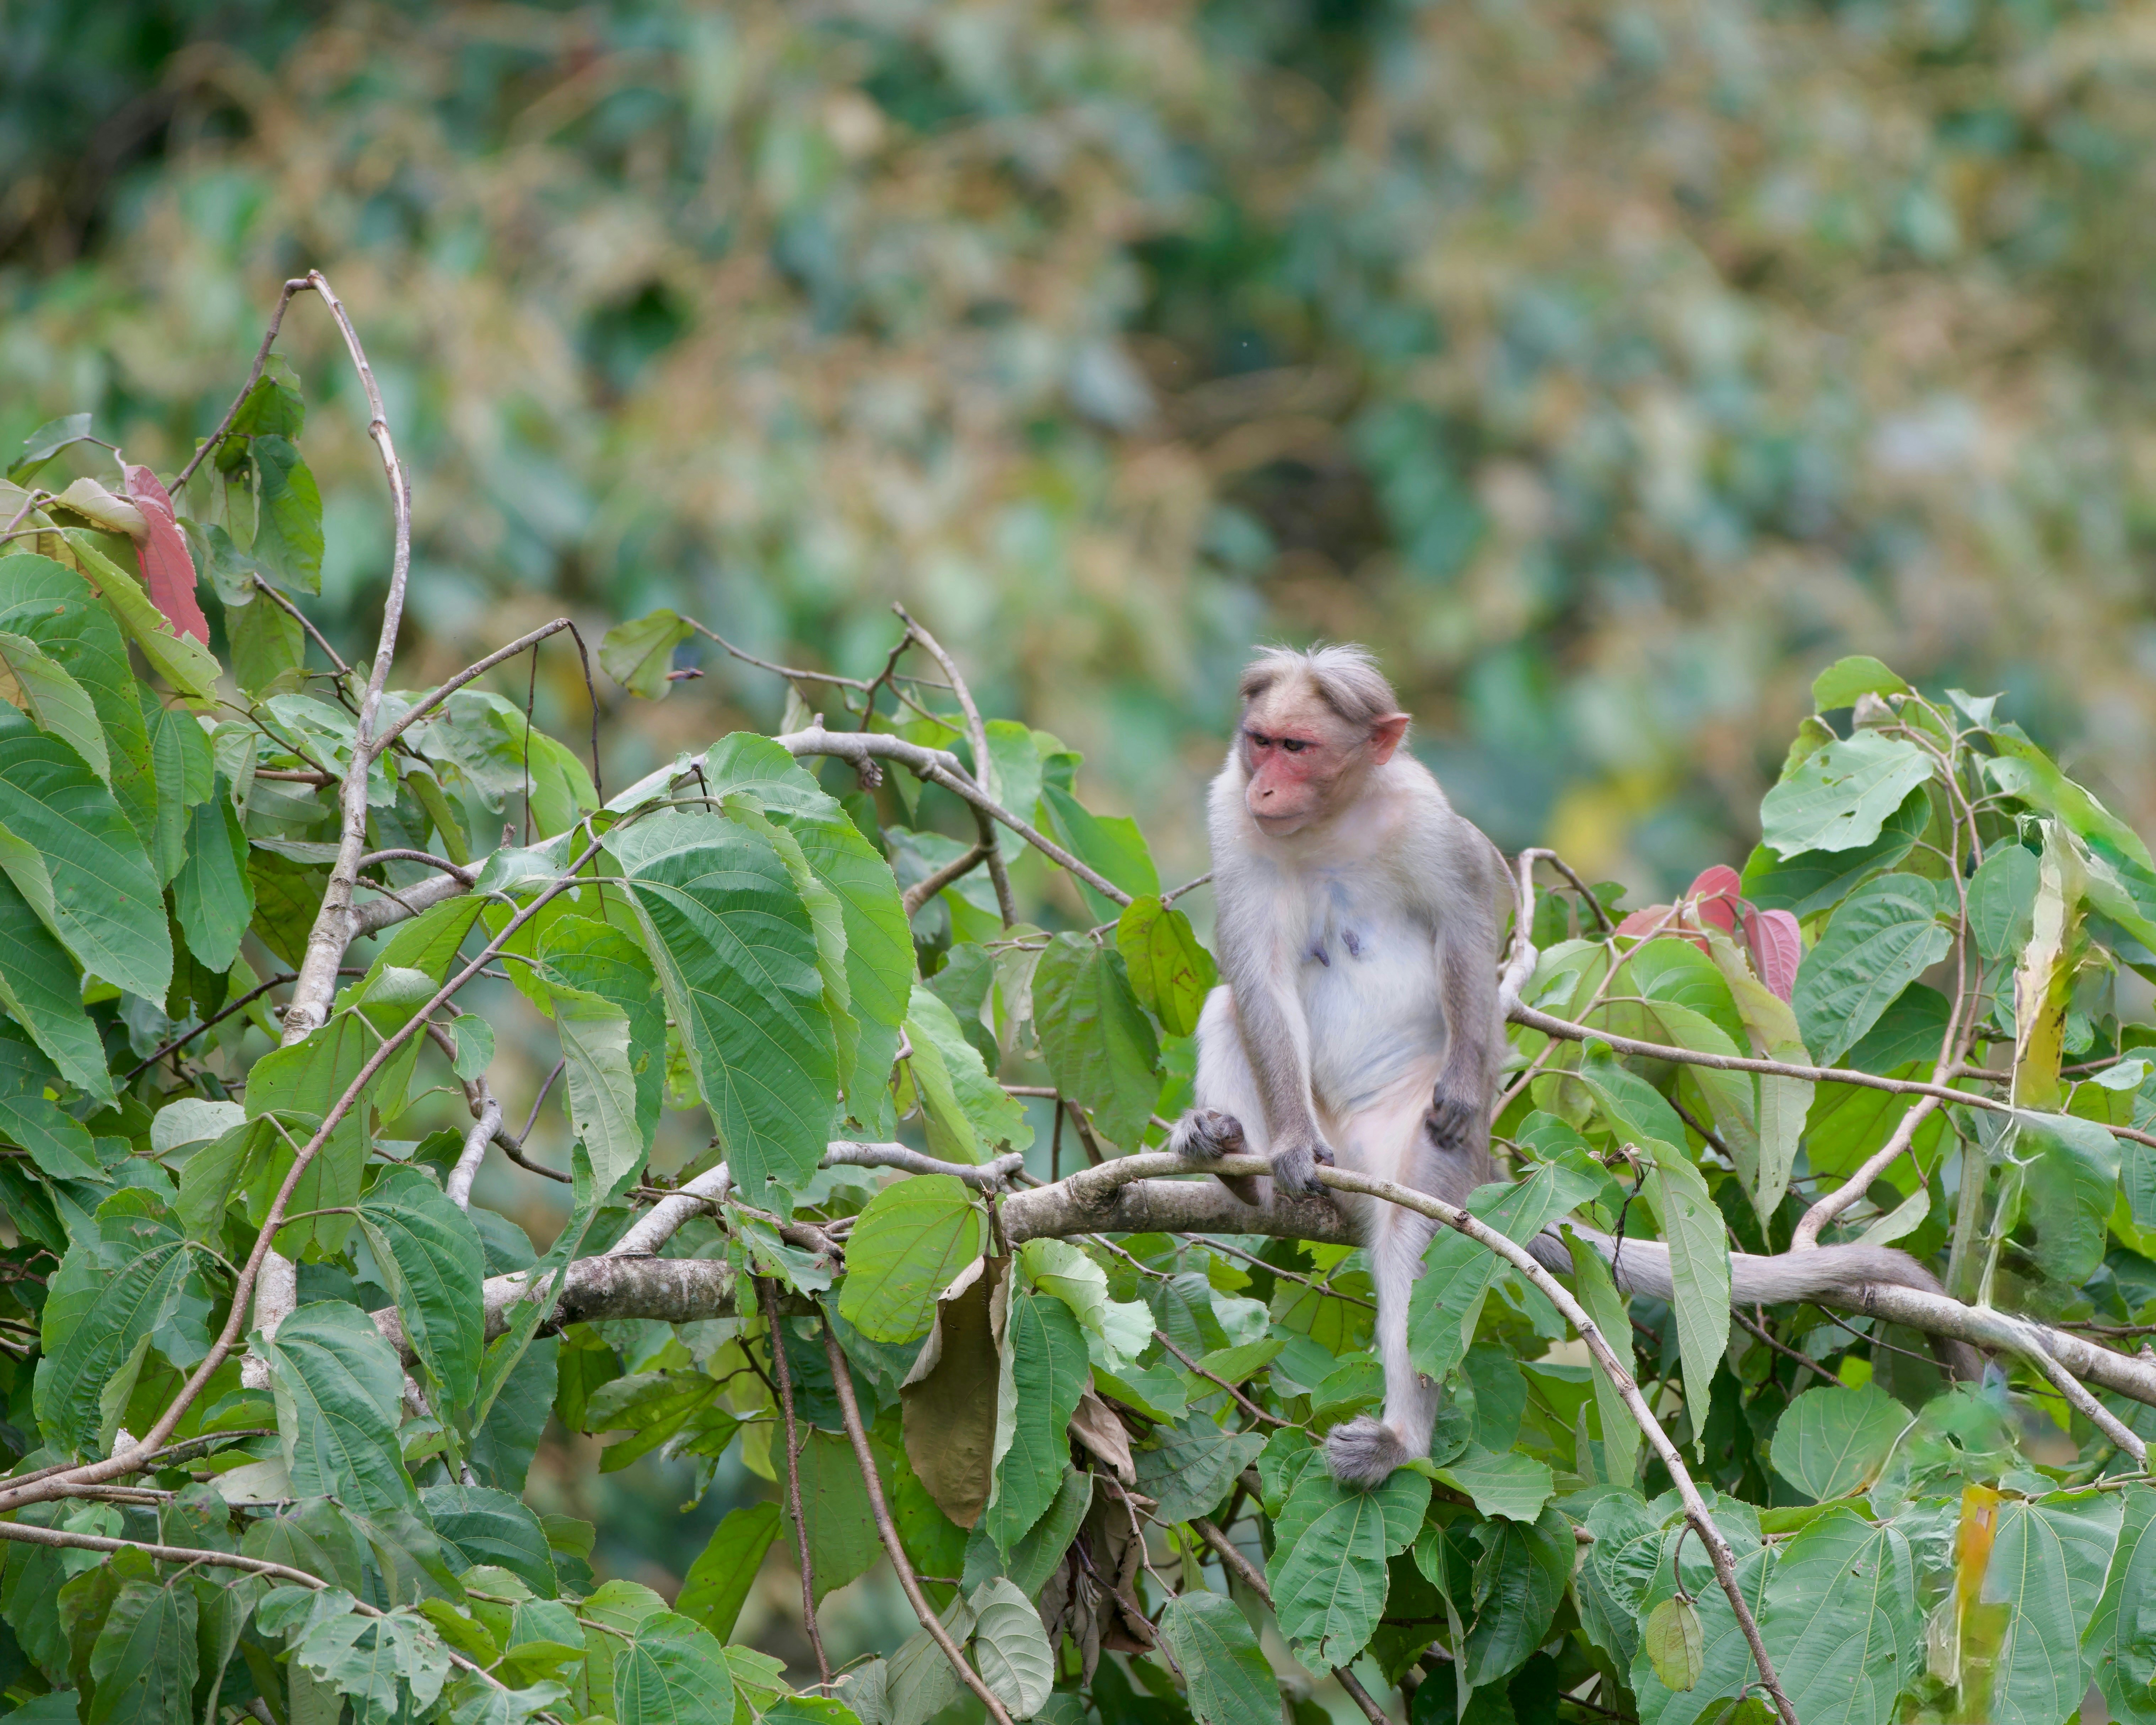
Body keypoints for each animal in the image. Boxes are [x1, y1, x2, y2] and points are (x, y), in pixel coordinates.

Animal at [1171, 644, 1974, 1489]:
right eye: (1260, 741)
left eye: (1297, 748)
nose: (1264, 785)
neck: (1328, 822)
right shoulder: (1229, 817)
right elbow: (1255, 978)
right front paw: (1289, 1145)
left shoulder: (1423, 815)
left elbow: (1466, 929)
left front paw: (1464, 1090)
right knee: (1228, 1011)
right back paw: (1238, 1169)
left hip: (1411, 1144)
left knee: (1415, 1232)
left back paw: (1402, 1438)